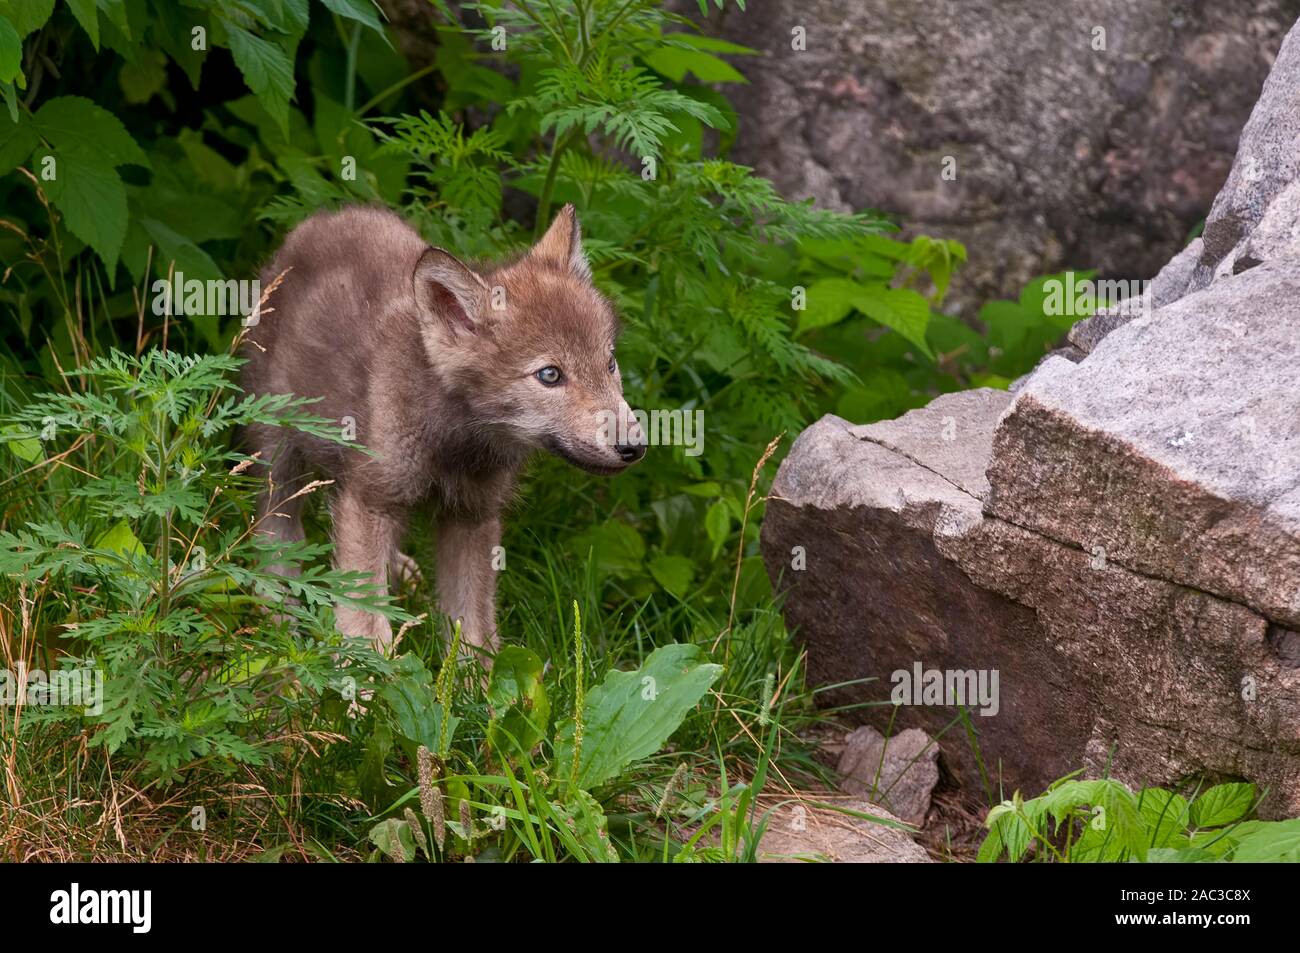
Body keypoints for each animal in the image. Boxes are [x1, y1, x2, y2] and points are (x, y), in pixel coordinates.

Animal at [241, 204, 645, 658]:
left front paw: (474, 680)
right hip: (277, 453)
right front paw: (365, 677)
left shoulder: (472, 514)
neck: (456, 442)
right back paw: (279, 614)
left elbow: (473, 631)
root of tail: (323, 218)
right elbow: (366, 622)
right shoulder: (370, 499)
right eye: (550, 375)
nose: (633, 446)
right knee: (275, 530)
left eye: (609, 364)